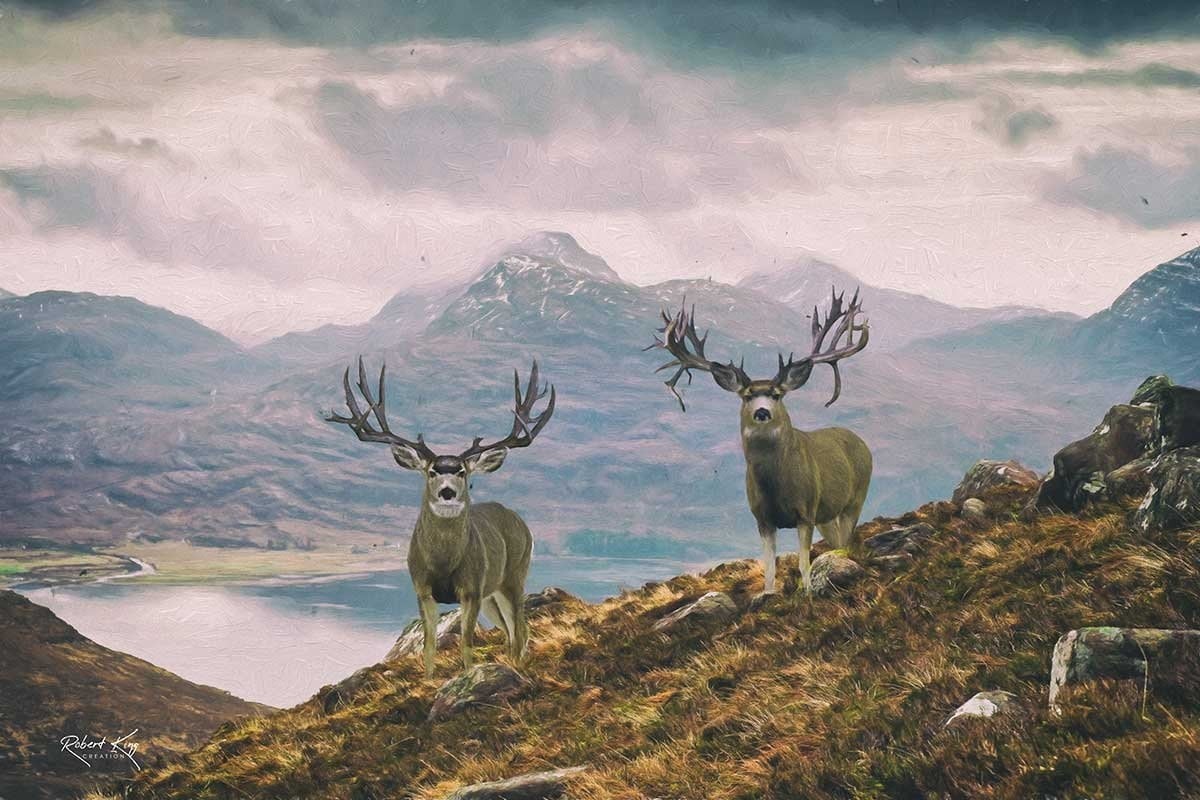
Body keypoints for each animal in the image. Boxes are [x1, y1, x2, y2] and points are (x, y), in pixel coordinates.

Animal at [327, 358, 555, 677]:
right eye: (432, 470)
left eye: (462, 471)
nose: (448, 492)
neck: (443, 563)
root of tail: (519, 521)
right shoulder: (422, 588)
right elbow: (429, 645)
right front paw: (429, 679)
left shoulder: (471, 589)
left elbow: (467, 644)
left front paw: (467, 675)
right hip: (492, 594)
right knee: (512, 631)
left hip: (514, 575)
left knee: (520, 629)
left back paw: (518, 667)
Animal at [648, 288, 872, 597]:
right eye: (747, 396)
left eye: (777, 394)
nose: (762, 412)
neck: (777, 486)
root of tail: (861, 441)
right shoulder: (762, 518)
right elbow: (769, 569)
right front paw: (768, 594)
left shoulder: (806, 510)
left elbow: (803, 563)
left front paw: (806, 594)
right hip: (828, 514)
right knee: (837, 541)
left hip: (855, 497)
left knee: (847, 539)